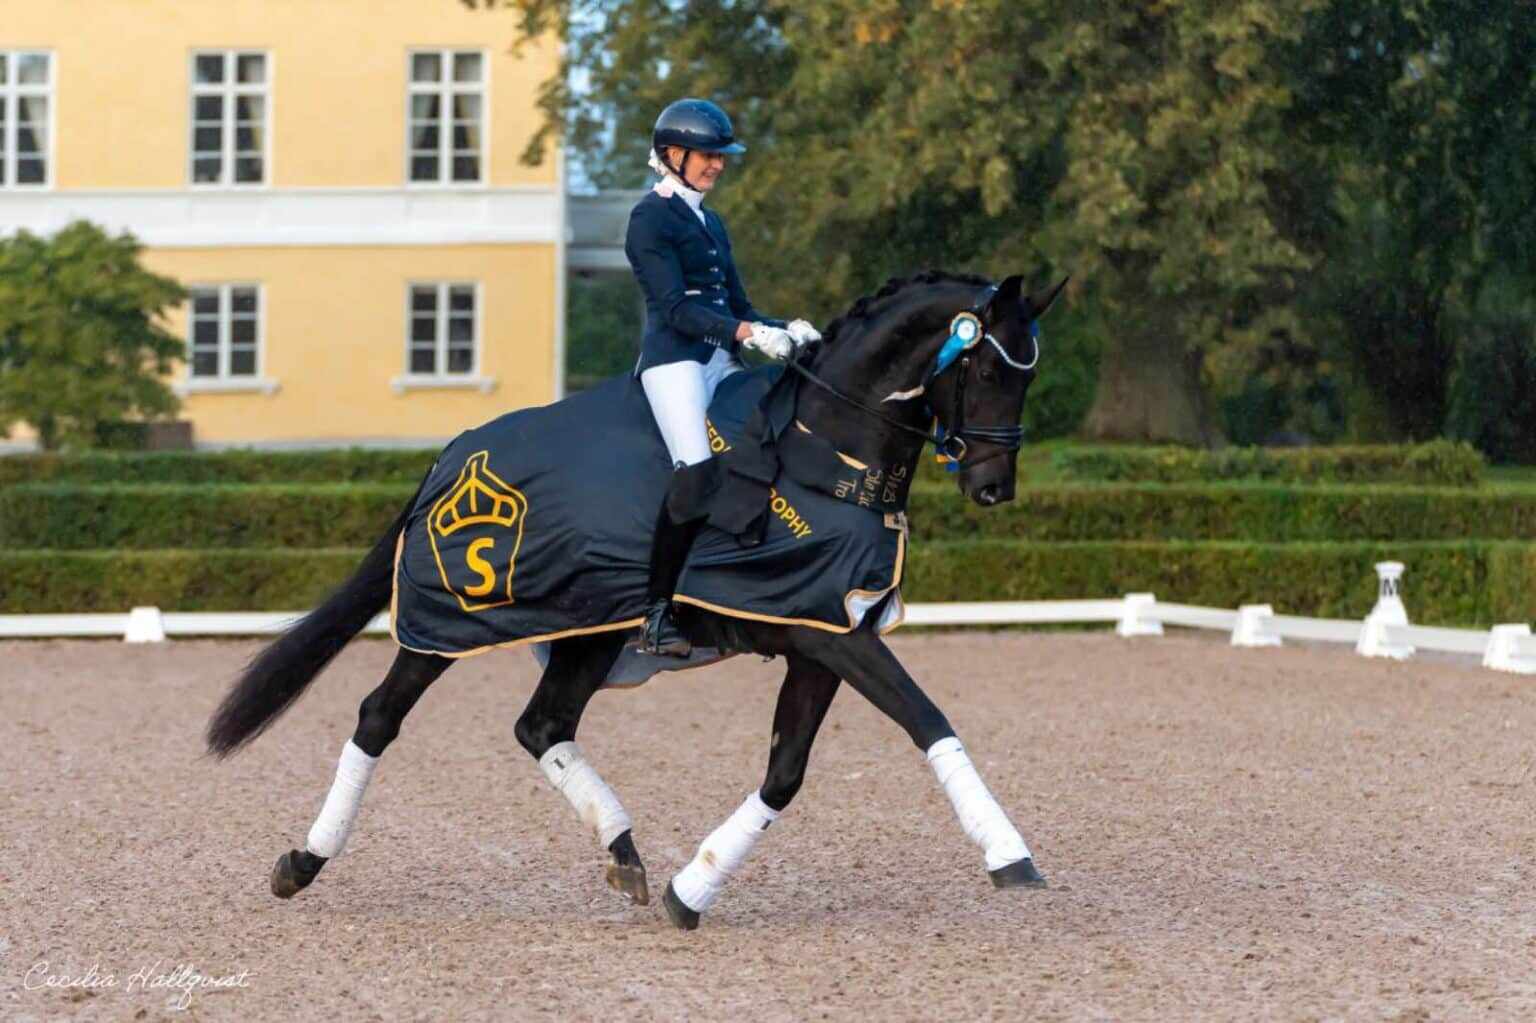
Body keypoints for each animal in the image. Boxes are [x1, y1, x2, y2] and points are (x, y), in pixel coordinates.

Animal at [205, 269, 1068, 930]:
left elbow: (785, 771)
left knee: (542, 724)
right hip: (445, 625)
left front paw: (693, 890)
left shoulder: (821, 629)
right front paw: (1008, 851)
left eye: (1028, 375)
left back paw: (624, 852)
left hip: (588, 628)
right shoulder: (837, 635)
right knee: (380, 716)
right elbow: (928, 719)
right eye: (987, 372)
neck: (827, 455)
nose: (994, 487)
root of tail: (450, 454)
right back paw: (303, 859)